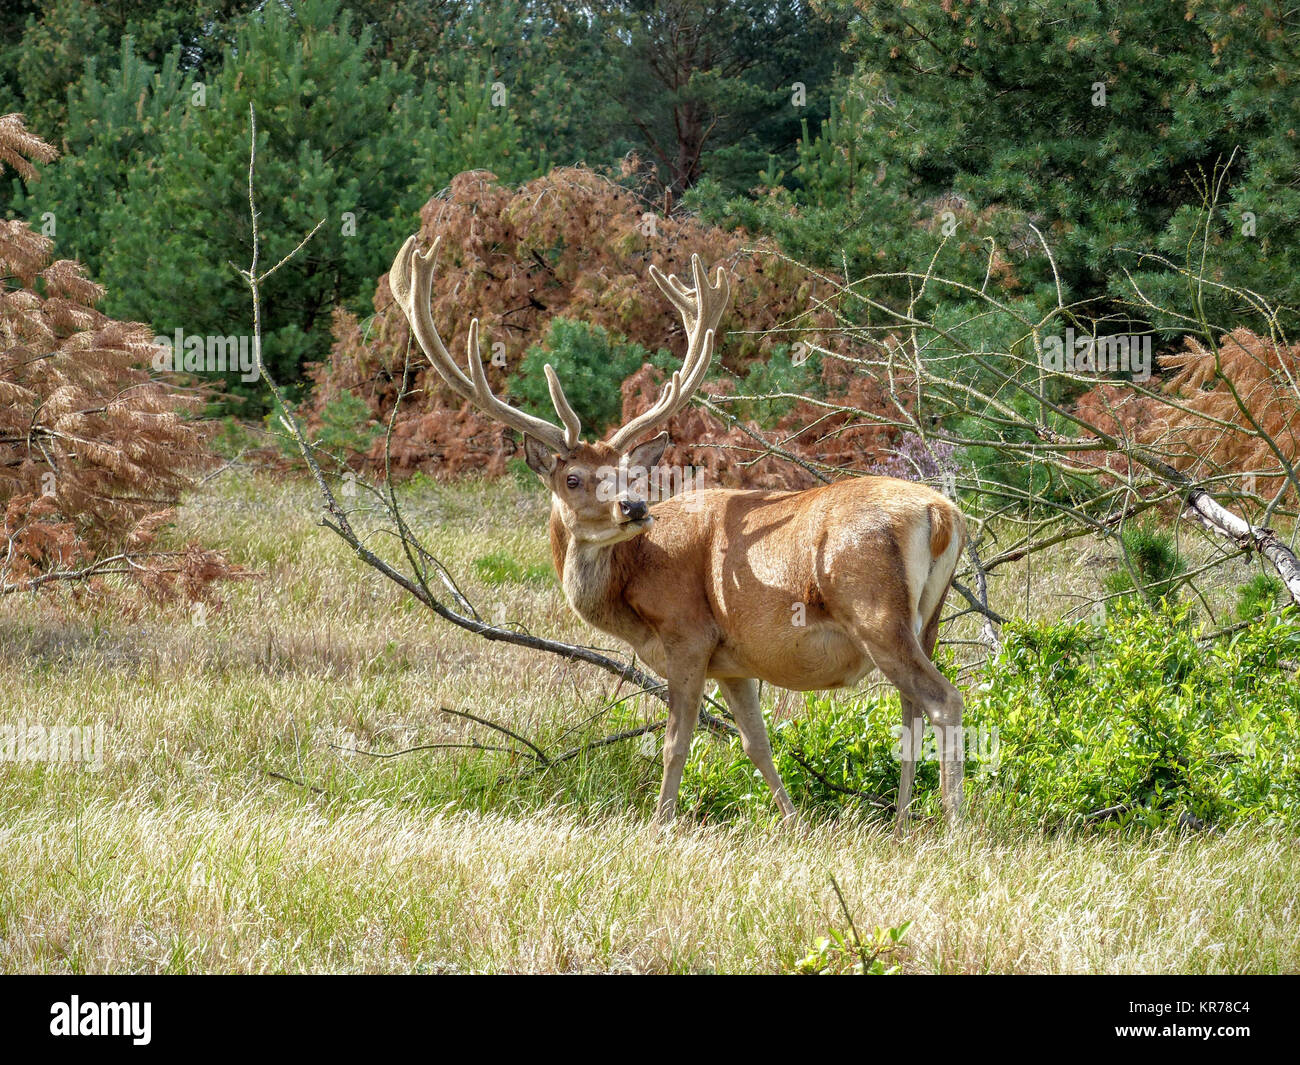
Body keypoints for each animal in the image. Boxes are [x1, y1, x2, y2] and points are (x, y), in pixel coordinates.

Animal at [388, 235, 968, 833]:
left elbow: (676, 743)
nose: (635, 506)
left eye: (630, 473)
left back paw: (951, 826)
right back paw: (902, 825)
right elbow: (756, 742)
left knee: (944, 700)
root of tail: (941, 513)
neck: (632, 599)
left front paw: (662, 823)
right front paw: (792, 821)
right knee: (910, 711)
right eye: (573, 478)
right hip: (926, 620)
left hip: (873, 610)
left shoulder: (688, 633)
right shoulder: (735, 660)